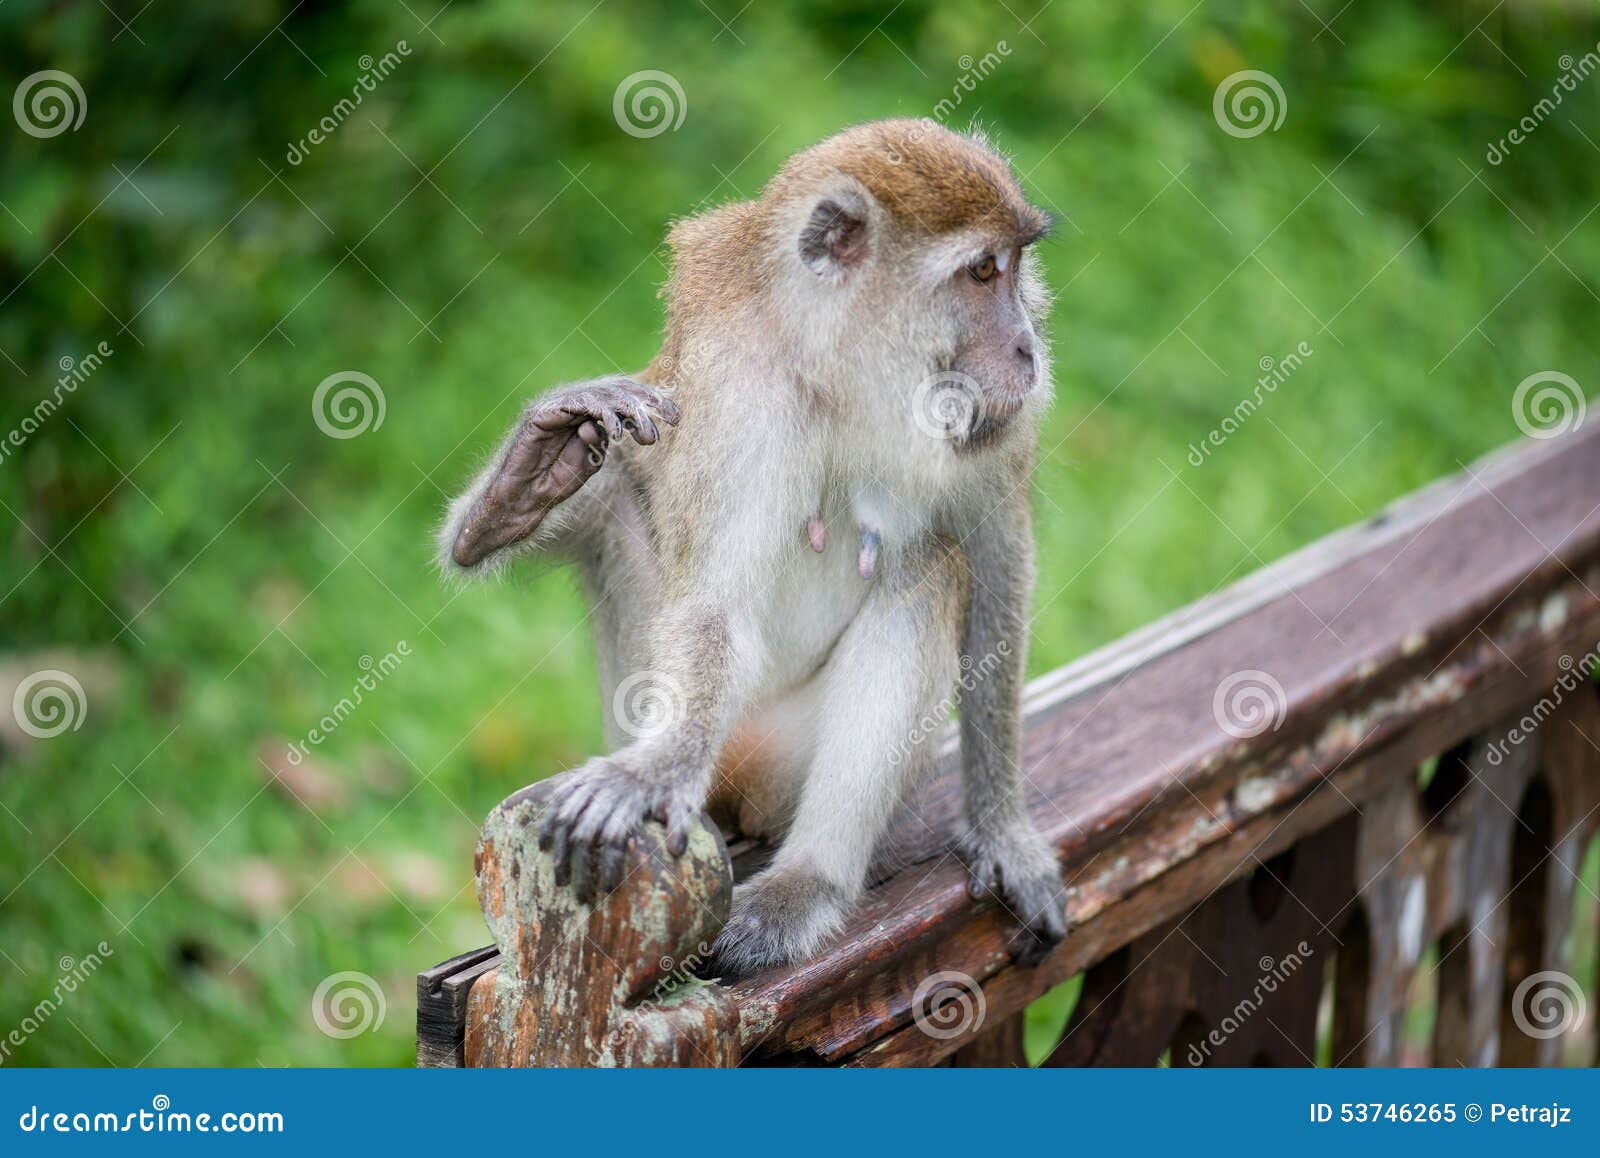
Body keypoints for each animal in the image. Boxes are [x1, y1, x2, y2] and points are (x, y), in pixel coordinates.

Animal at [439, 118, 1068, 974]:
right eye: (981, 271)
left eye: (1015, 267)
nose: (1028, 351)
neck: (836, 374)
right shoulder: (740, 391)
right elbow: (713, 606)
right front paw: (654, 769)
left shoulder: (999, 422)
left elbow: (1000, 574)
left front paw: (1003, 829)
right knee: (615, 499)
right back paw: (514, 496)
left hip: (777, 765)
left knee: (930, 567)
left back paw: (809, 881)